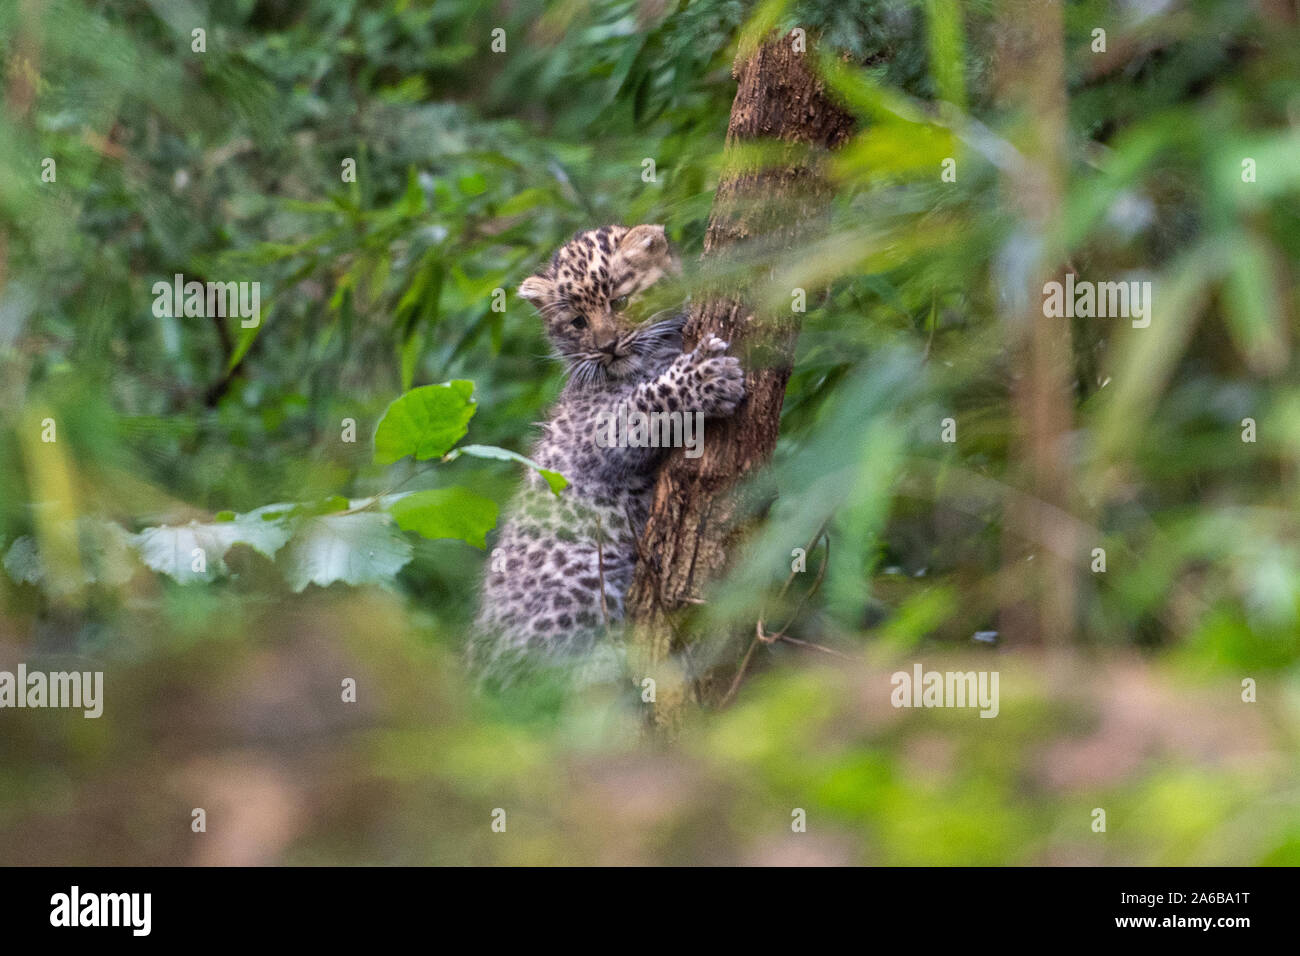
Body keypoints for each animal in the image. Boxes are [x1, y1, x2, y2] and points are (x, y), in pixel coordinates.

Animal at [469, 223, 746, 687]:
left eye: (620, 302)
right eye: (577, 322)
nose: (608, 346)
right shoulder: (596, 430)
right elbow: (647, 401)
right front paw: (706, 378)